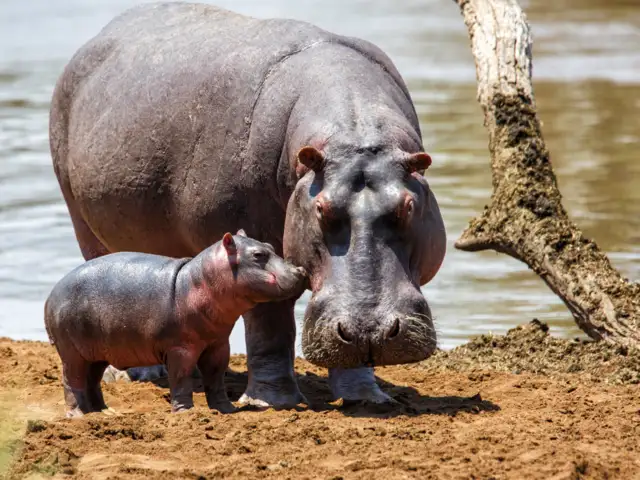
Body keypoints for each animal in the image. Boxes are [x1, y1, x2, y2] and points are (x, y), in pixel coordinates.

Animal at [45, 231, 307, 417]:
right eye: (258, 255)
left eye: (271, 246)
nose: (300, 269)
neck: (198, 281)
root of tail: (50, 296)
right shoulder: (180, 348)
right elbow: (181, 378)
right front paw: (185, 413)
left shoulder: (218, 344)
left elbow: (216, 377)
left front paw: (226, 409)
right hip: (72, 353)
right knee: (72, 381)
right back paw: (78, 415)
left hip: (96, 353)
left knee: (92, 380)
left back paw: (103, 412)